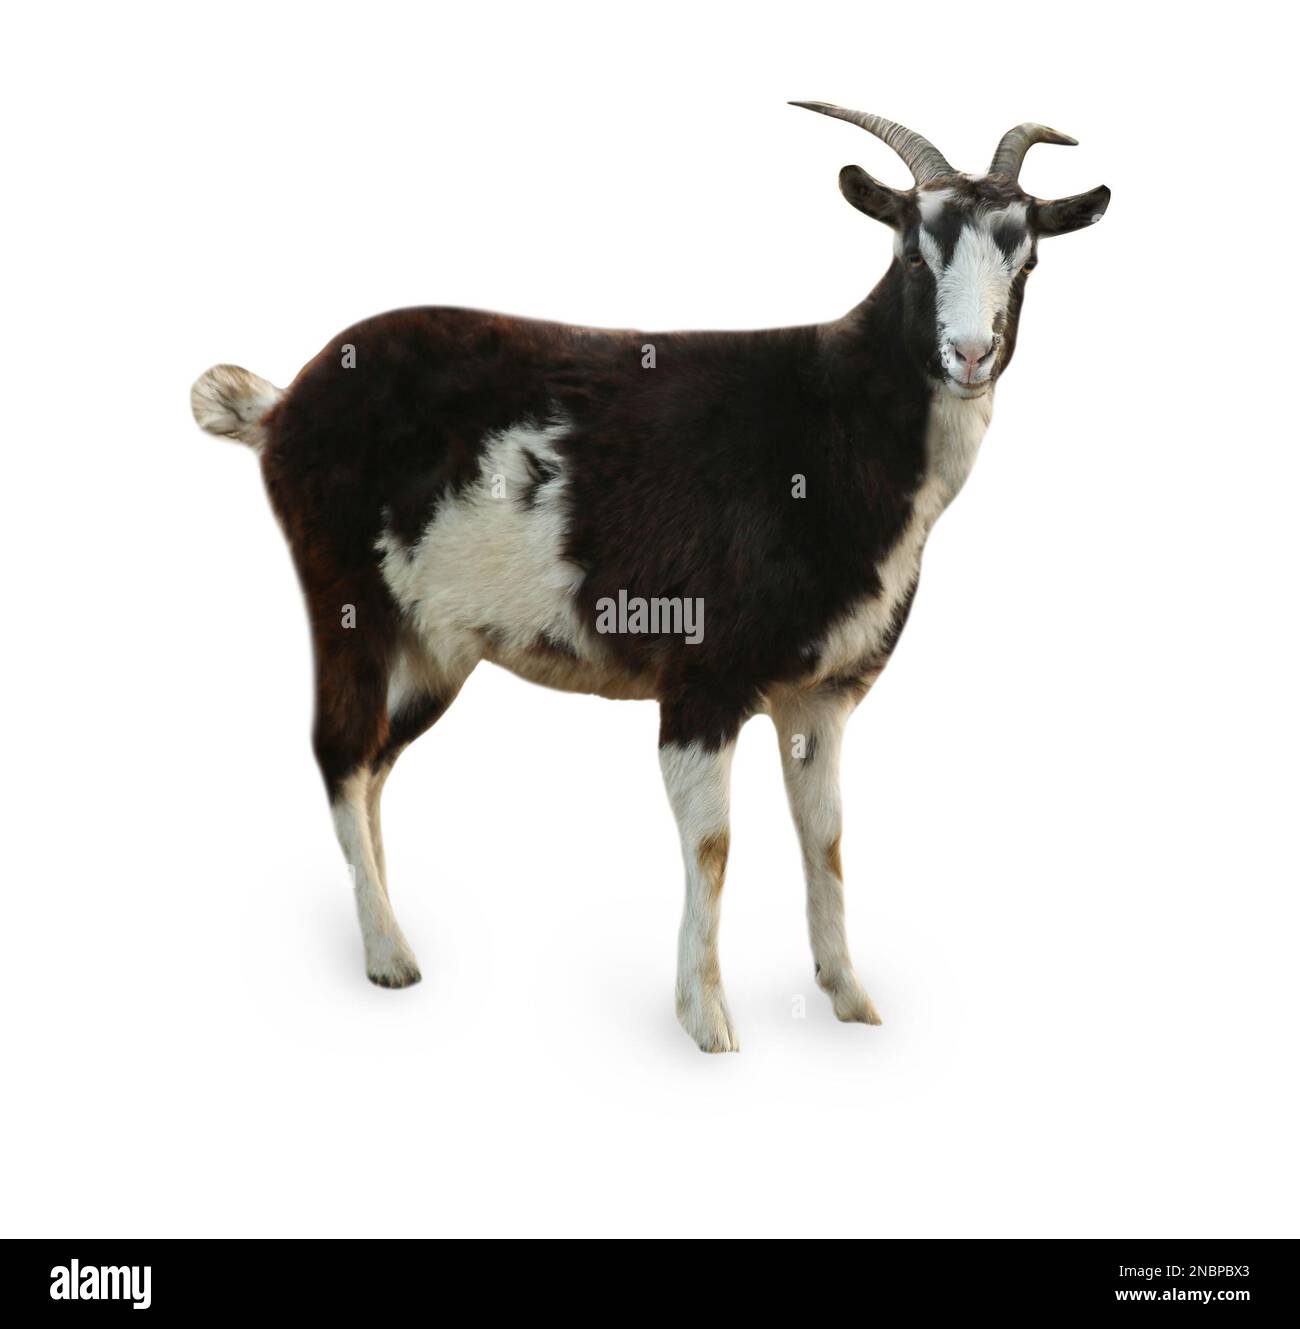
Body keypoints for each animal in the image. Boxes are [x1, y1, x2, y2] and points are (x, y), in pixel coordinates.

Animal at [191, 104, 1108, 1052]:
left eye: (1028, 260)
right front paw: (708, 1022)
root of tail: (277, 407)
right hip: (343, 592)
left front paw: (852, 1000)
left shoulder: (823, 692)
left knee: (375, 762)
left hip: (436, 640)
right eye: (914, 254)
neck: (837, 430)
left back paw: (382, 921)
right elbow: (714, 843)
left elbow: (825, 835)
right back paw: (388, 956)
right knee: (340, 750)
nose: (969, 355)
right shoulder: (703, 678)